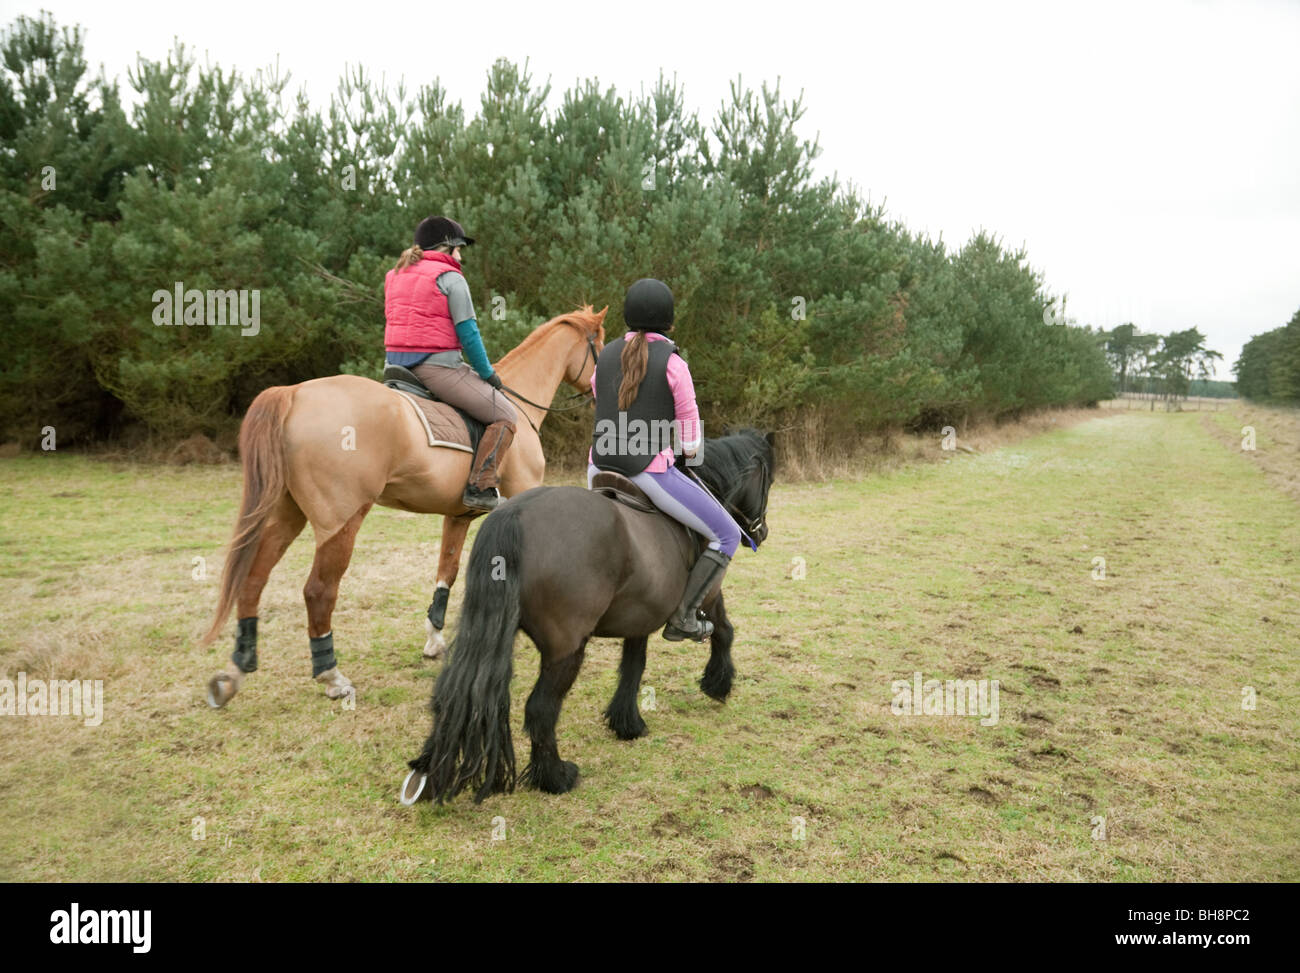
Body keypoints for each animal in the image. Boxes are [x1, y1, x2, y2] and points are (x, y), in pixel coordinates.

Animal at [199, 306, 607, 707]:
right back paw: (332, 677)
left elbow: (447, 573)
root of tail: (295, 393)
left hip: (286, 516)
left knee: (254, 578)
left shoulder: (457, 517)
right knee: (318, 591)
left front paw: (435, 640)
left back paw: (236, 671)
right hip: (341, 523)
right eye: (601, 344)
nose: (599, 394)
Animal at [399, 428, 775, 805]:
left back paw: (430, 773)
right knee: (541, 709)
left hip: (487, 632)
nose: (761, 534)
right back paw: (554, 777)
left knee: (457, 693)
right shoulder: (709, 595)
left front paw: (627, 723)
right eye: (768, 481)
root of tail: (515, 514)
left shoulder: (640, 615)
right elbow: (724, 631)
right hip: (567, 649)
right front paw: (718, 684)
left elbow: (633, 666)